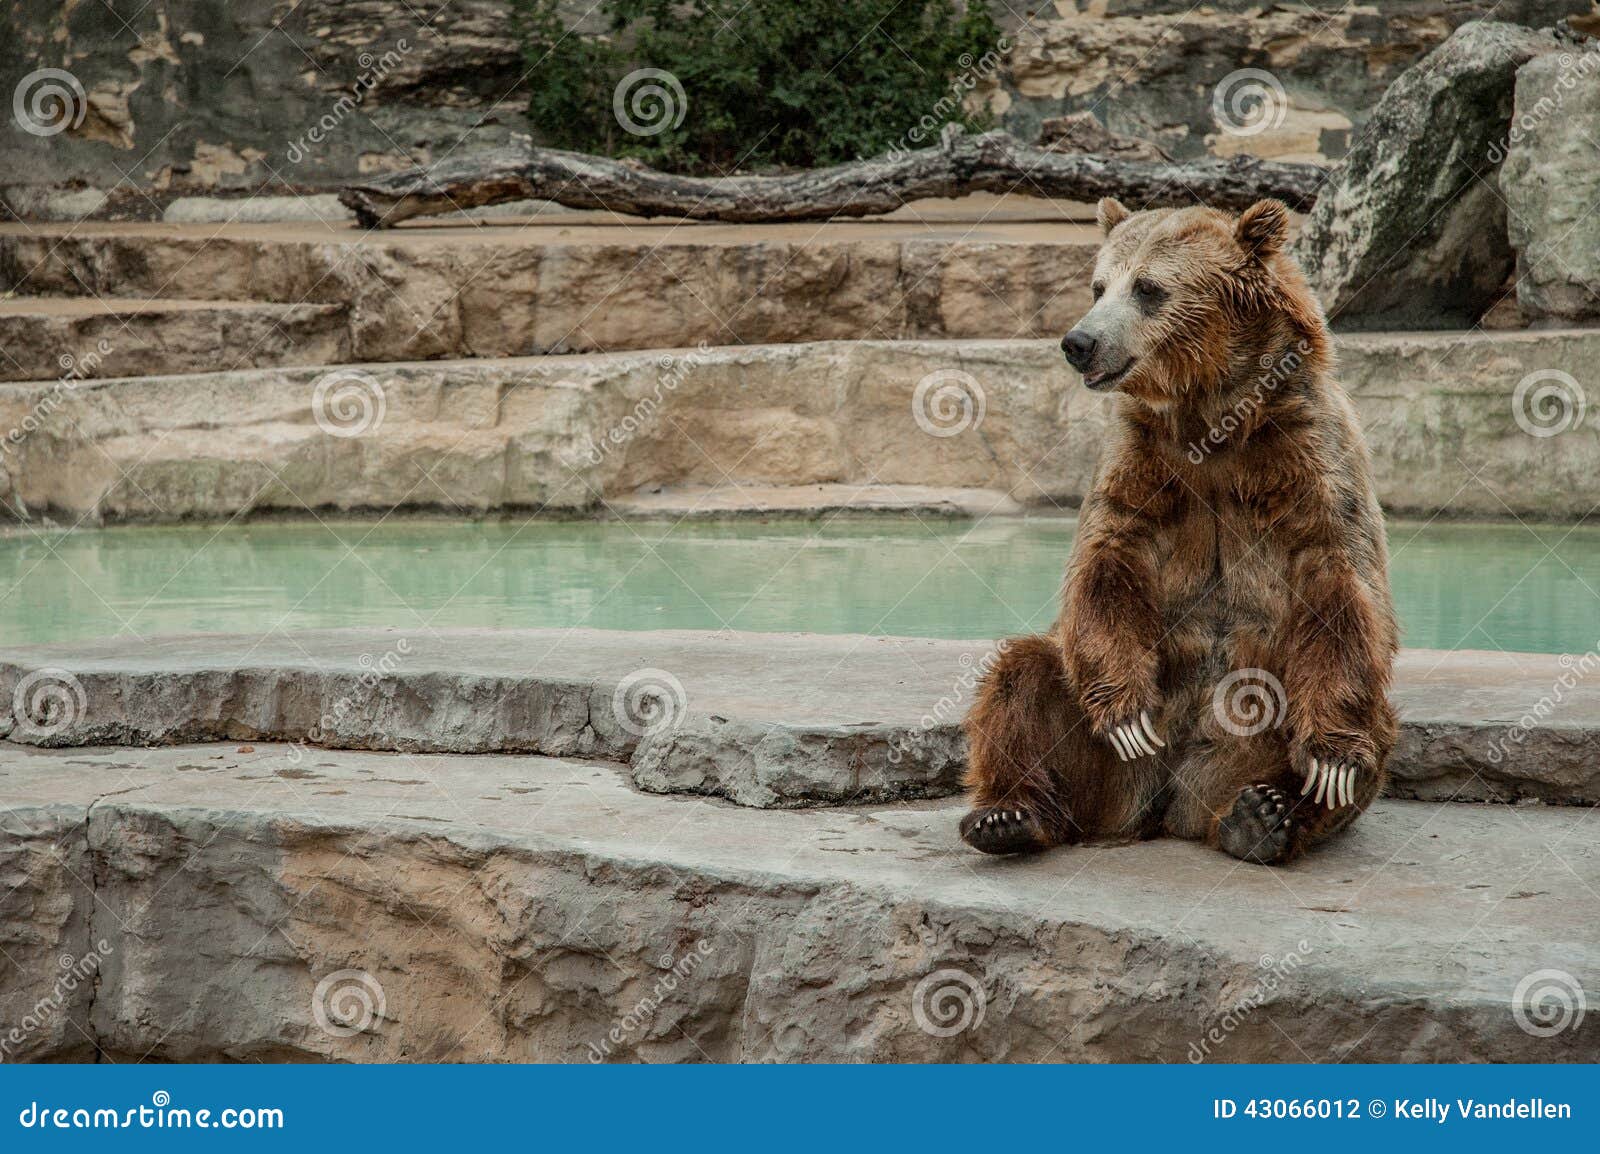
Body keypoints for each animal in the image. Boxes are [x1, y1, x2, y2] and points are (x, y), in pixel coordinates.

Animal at [959, 196, 1398, 865]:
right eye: (1098, 285)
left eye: (1148, 288)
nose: (1079, 342)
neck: (1210, 415)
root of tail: (1171, 801)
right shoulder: (1140, 459)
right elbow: (1106, 559)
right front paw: (1127, 718)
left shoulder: (1311, 455)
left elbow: (1340, 580)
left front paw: (1332, 760)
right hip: (1101, 762)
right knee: (1022, 673)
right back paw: (1007, 815)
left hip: (1257, 731)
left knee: (1369, 727)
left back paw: (1265, 812)